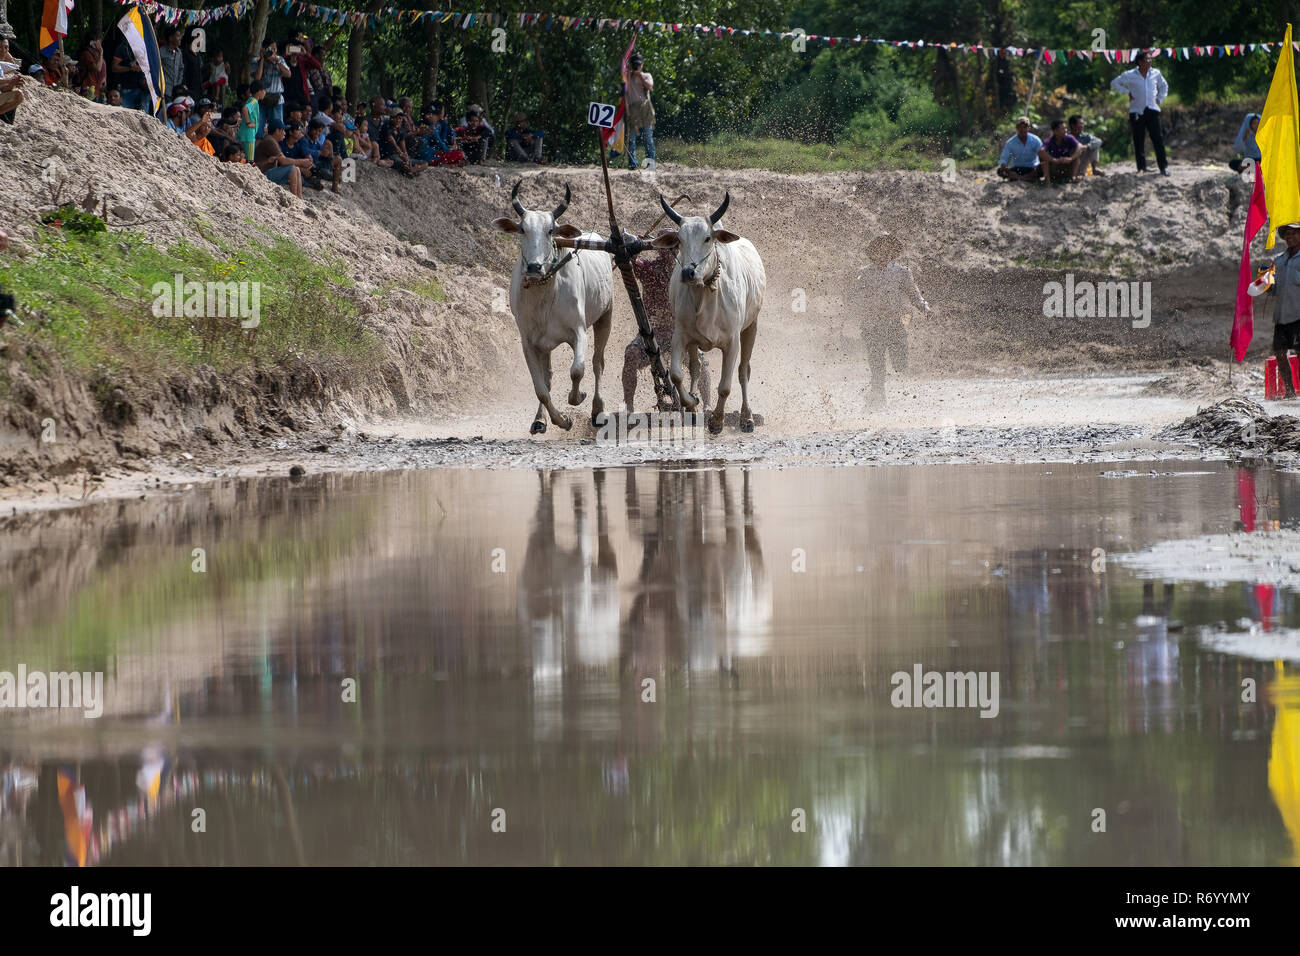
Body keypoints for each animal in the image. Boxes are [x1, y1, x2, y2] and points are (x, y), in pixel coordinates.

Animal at [493, 181, 614, 434]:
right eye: (522, 229)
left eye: (550, 230)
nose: (534, 267)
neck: (544, 297)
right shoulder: (529, 343)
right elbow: (541, 389)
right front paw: (560, 420)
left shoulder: (579, 332)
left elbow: (577, 370)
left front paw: (577, 397)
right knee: (548, 377)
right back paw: (541, 419)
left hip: (605, 316)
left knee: (597, 363)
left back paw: (597, 409)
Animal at [652, 192, 766, 434]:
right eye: (680, 240)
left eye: (707, 238)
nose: (688, 272)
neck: (705, 296)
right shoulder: (680, 335)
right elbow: (676, 375)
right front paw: (691, 403)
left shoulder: (732, 342)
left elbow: (725, 386)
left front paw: (717, 421)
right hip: (694, 342)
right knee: (695, 367)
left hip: (751, 327)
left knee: (744, 371)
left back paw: (747, 417)